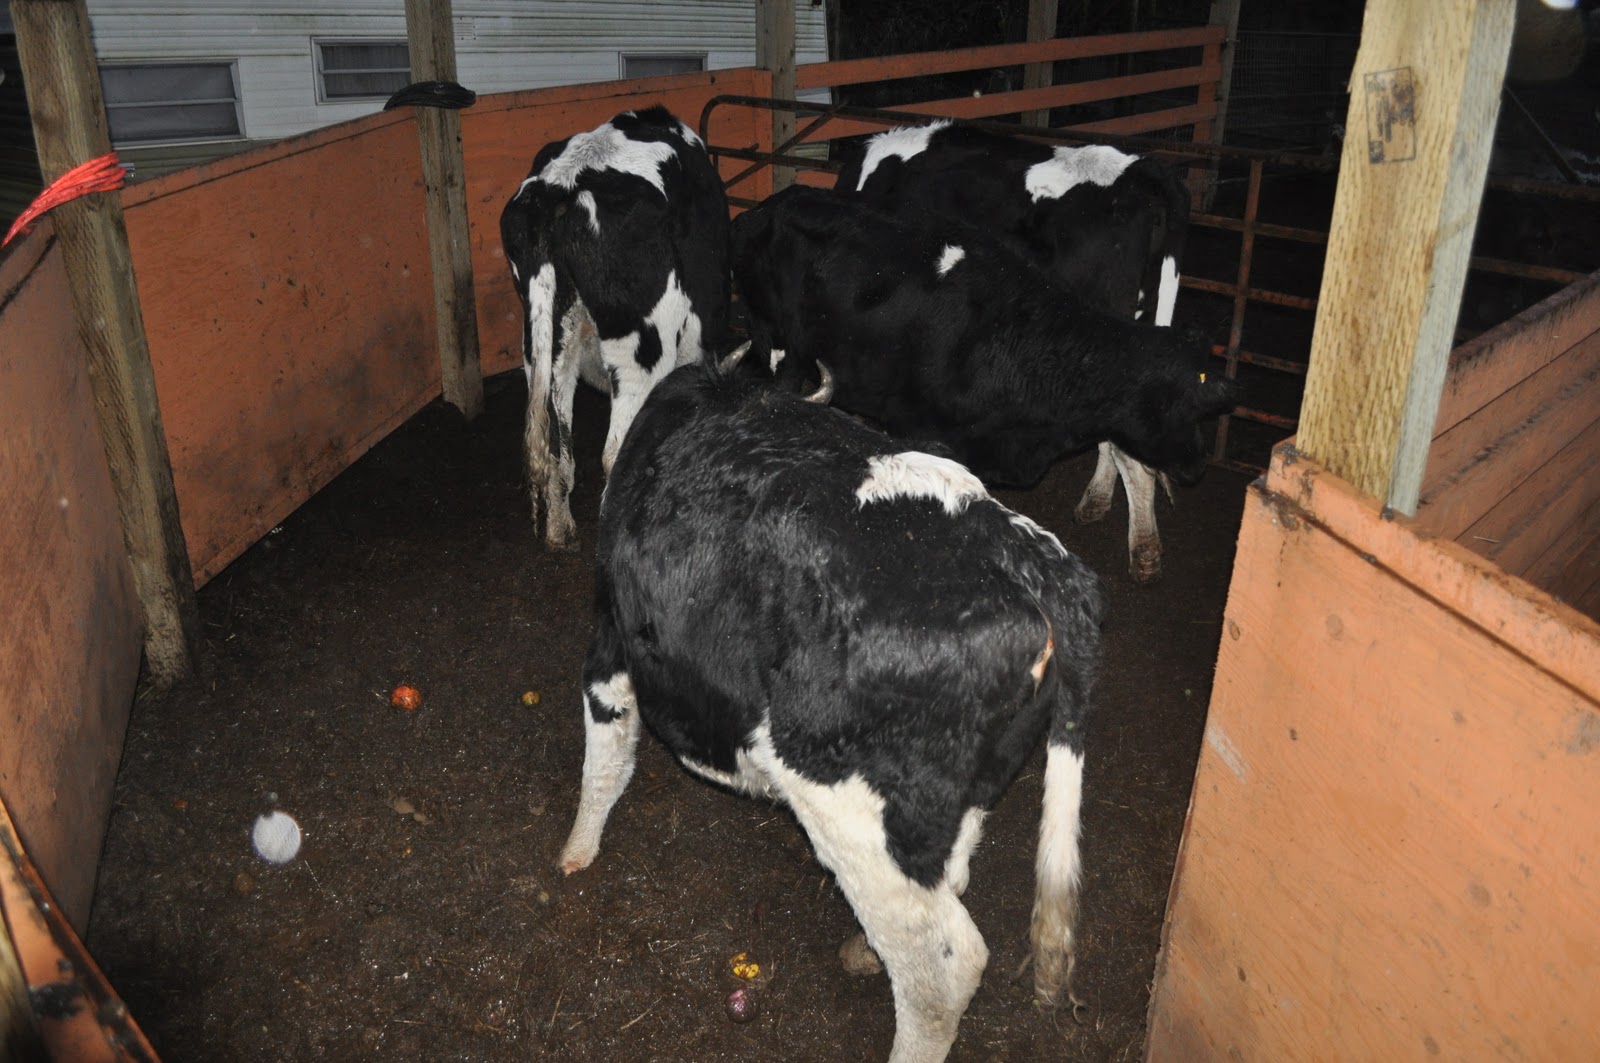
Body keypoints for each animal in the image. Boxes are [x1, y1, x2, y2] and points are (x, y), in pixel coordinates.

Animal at [499, 105, 729, 548]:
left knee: (558, 451)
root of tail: (560, 185)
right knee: (615, 453)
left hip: (546, 346)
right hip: (642, 349)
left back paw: (559, 531)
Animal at [557, 356, 1105, 1063]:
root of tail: (1027, 553)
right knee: (946, 882)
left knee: (943, 967)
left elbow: (605, 756)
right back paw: (867, 952)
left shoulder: (611, 638)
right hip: (946, 801)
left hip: (842, 798)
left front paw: (576, 851)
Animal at [730, 186, 1238, 533]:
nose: (1199, 463)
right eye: (1173, 399)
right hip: (775, 339)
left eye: (1201, 390)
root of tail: (771, 204)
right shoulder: (924, 428)